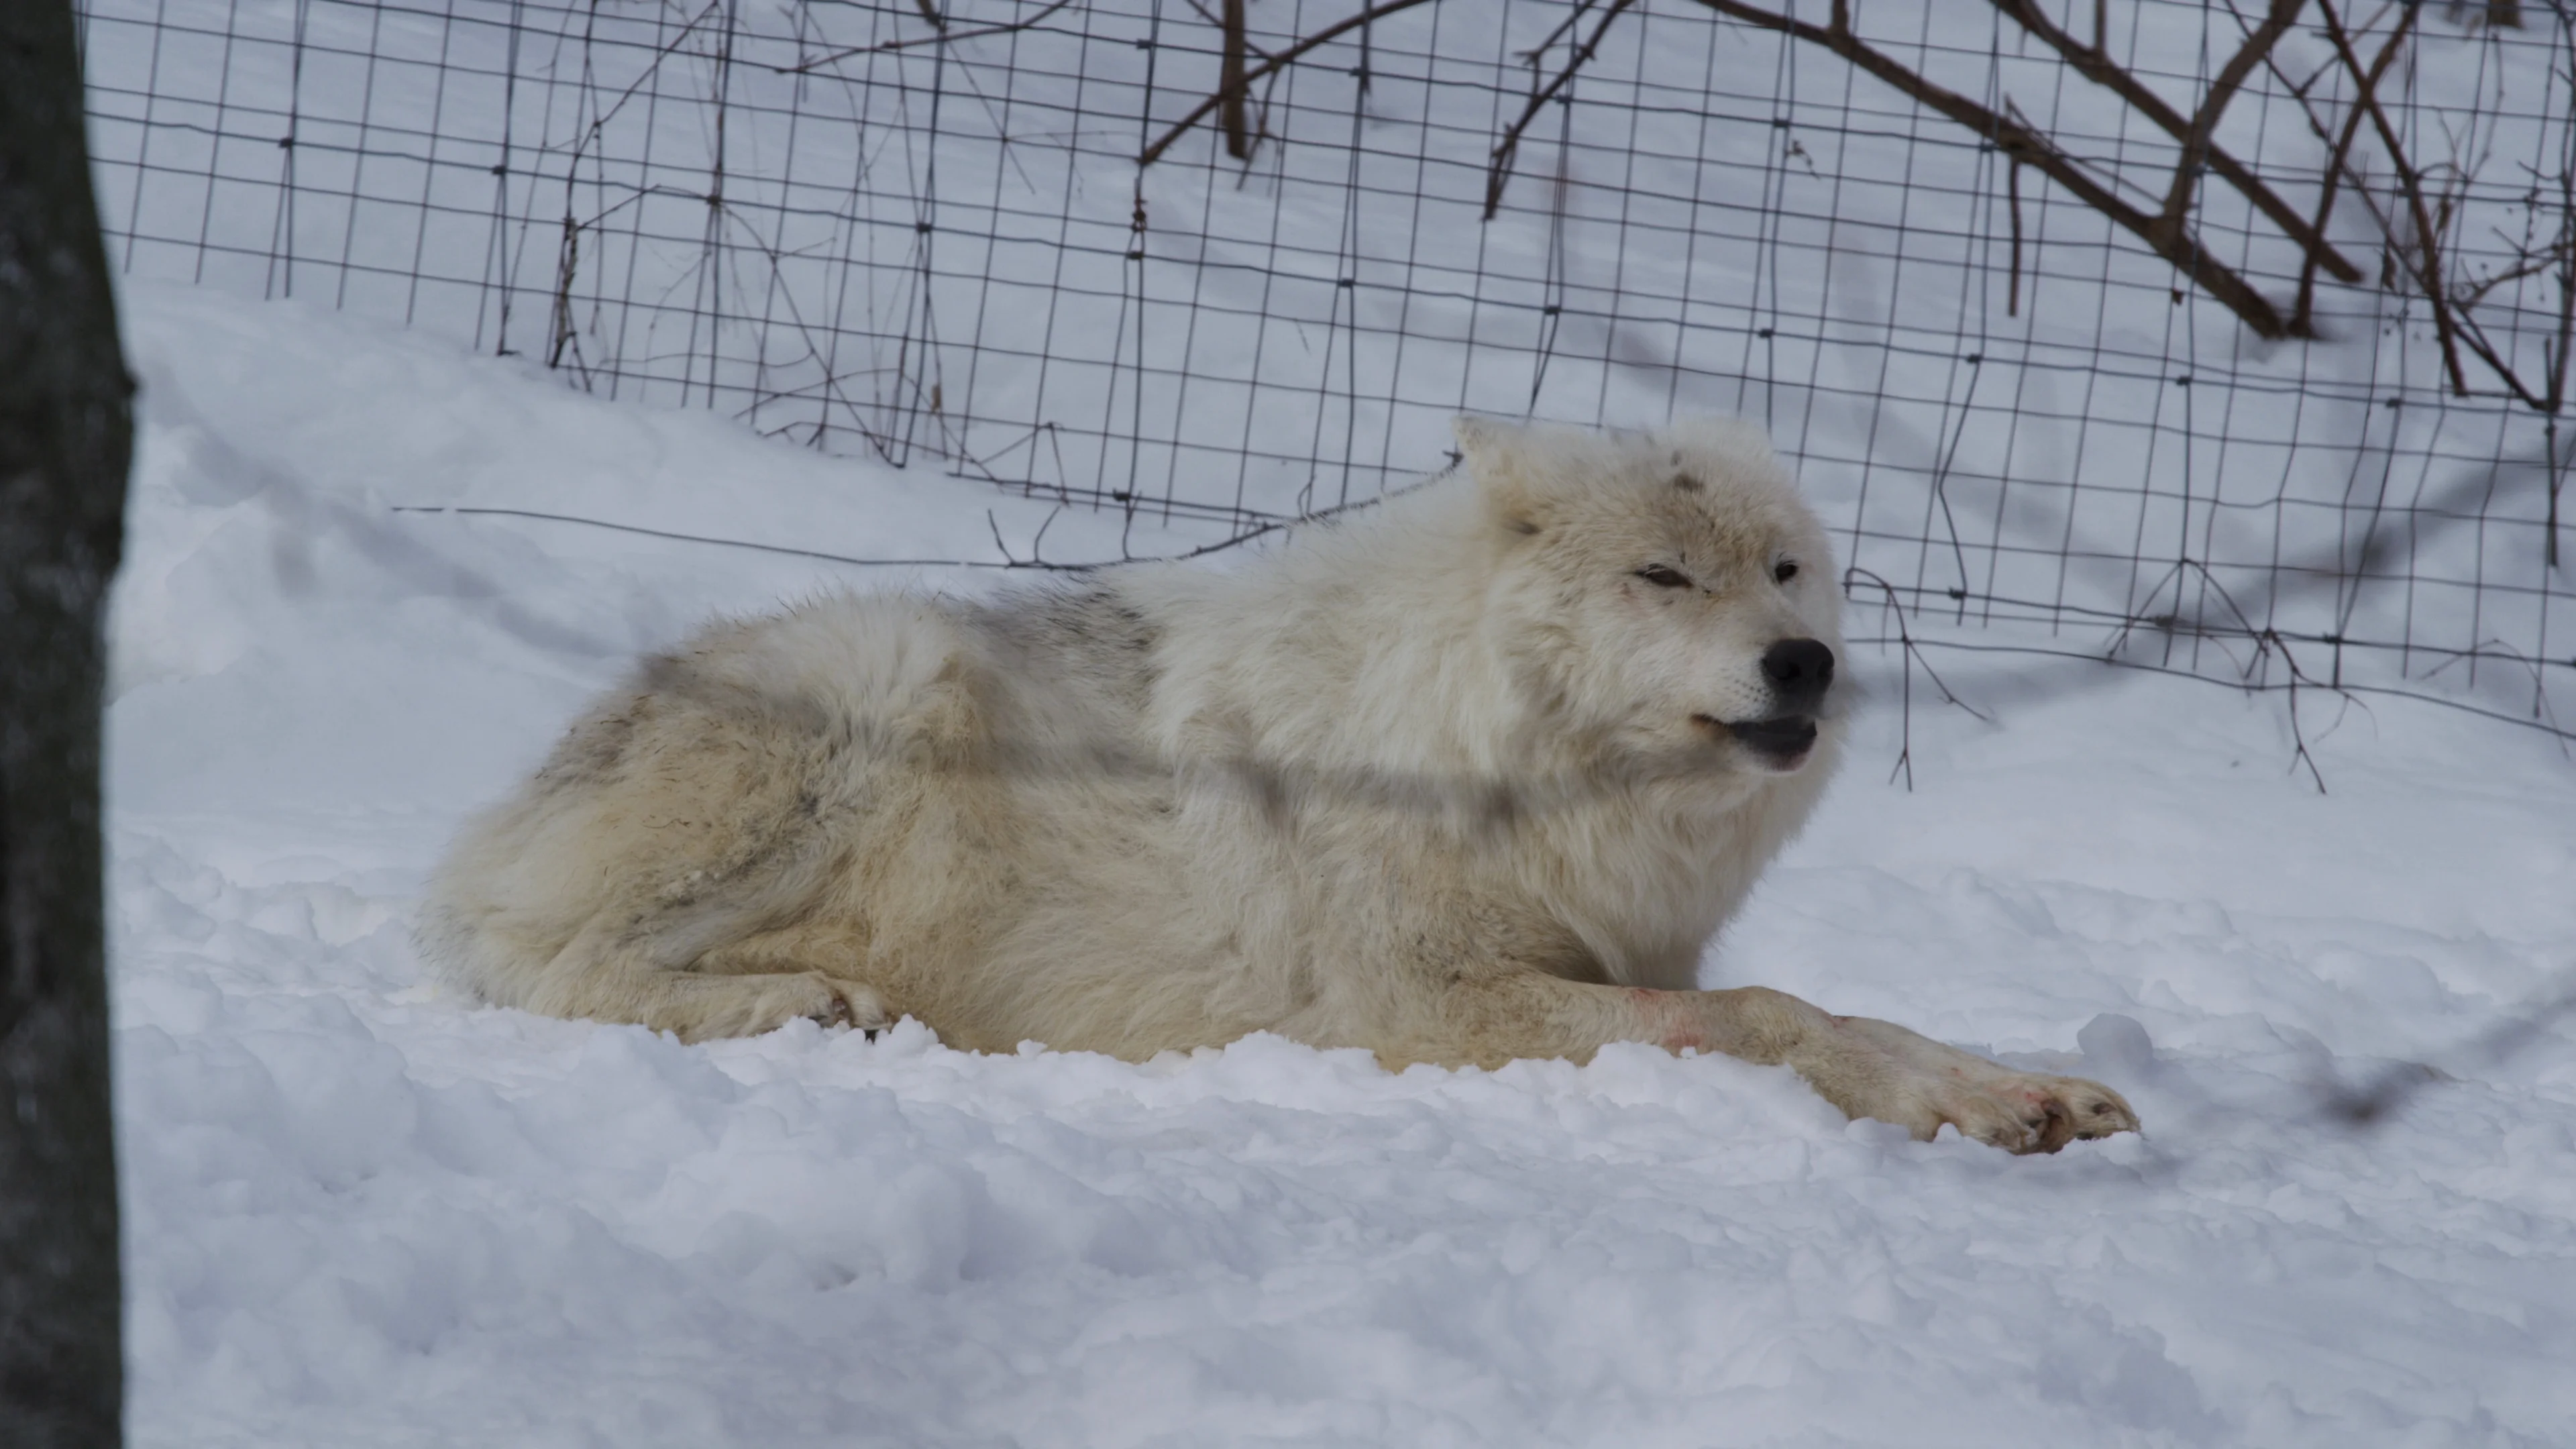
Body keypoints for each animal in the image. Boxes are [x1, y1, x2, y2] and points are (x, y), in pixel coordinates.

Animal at [421, 418, 2137, 1153]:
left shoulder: (1617, 953)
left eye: (1786, 571)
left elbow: (1843, 1008)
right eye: (1663, 575)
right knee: (545, 970)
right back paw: (804, 1006)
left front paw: (2015, 1091)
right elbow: (1775, 1014)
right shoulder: (1429, 1011)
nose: (1805, 665)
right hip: (877, 679)